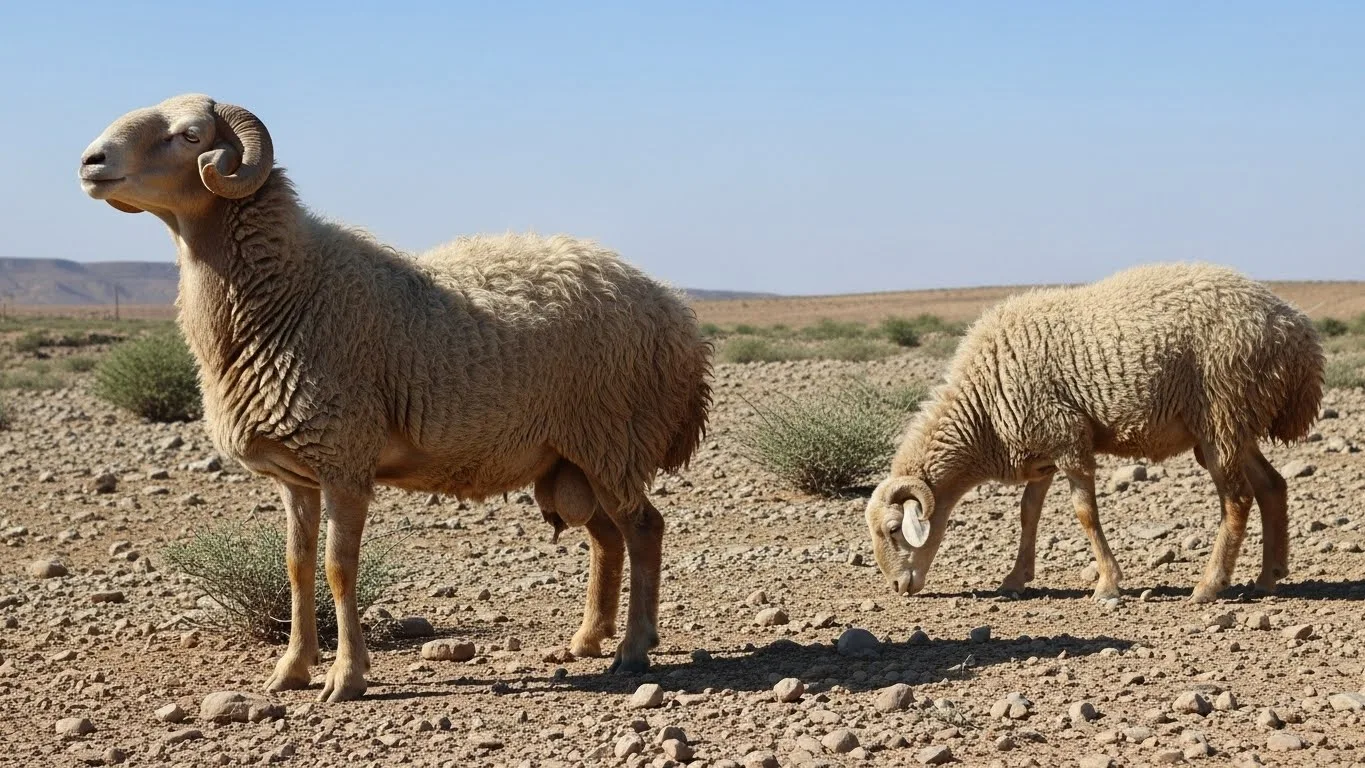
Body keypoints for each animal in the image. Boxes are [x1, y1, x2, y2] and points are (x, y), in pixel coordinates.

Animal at [78, 94, 713, 702]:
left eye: (190, 136)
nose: (90, 161)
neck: (294, 285)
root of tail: (675, 311)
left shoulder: (345, 460)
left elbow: (339, 568)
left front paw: (346, 677)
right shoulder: (296, 475)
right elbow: (297, 567)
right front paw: (291, 670)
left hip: (613, 438)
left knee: (644, 529)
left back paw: (633, 649)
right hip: (574, 456)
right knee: (608, 537)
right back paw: (588, 639)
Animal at [864, 262, 1322, 604]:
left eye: (894, 529)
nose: (897, 587)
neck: (983, 410)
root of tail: (1296, 329)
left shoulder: (1068, 439)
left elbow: (1084, 513)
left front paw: (1107, 584)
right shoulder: (1043, 450)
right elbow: (1028, 512)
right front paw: (1015, 578)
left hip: (1222, 416)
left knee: (1238, 499)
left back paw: (1209, 586)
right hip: (1235, 424)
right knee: (1272, 486)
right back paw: (1268, 577)